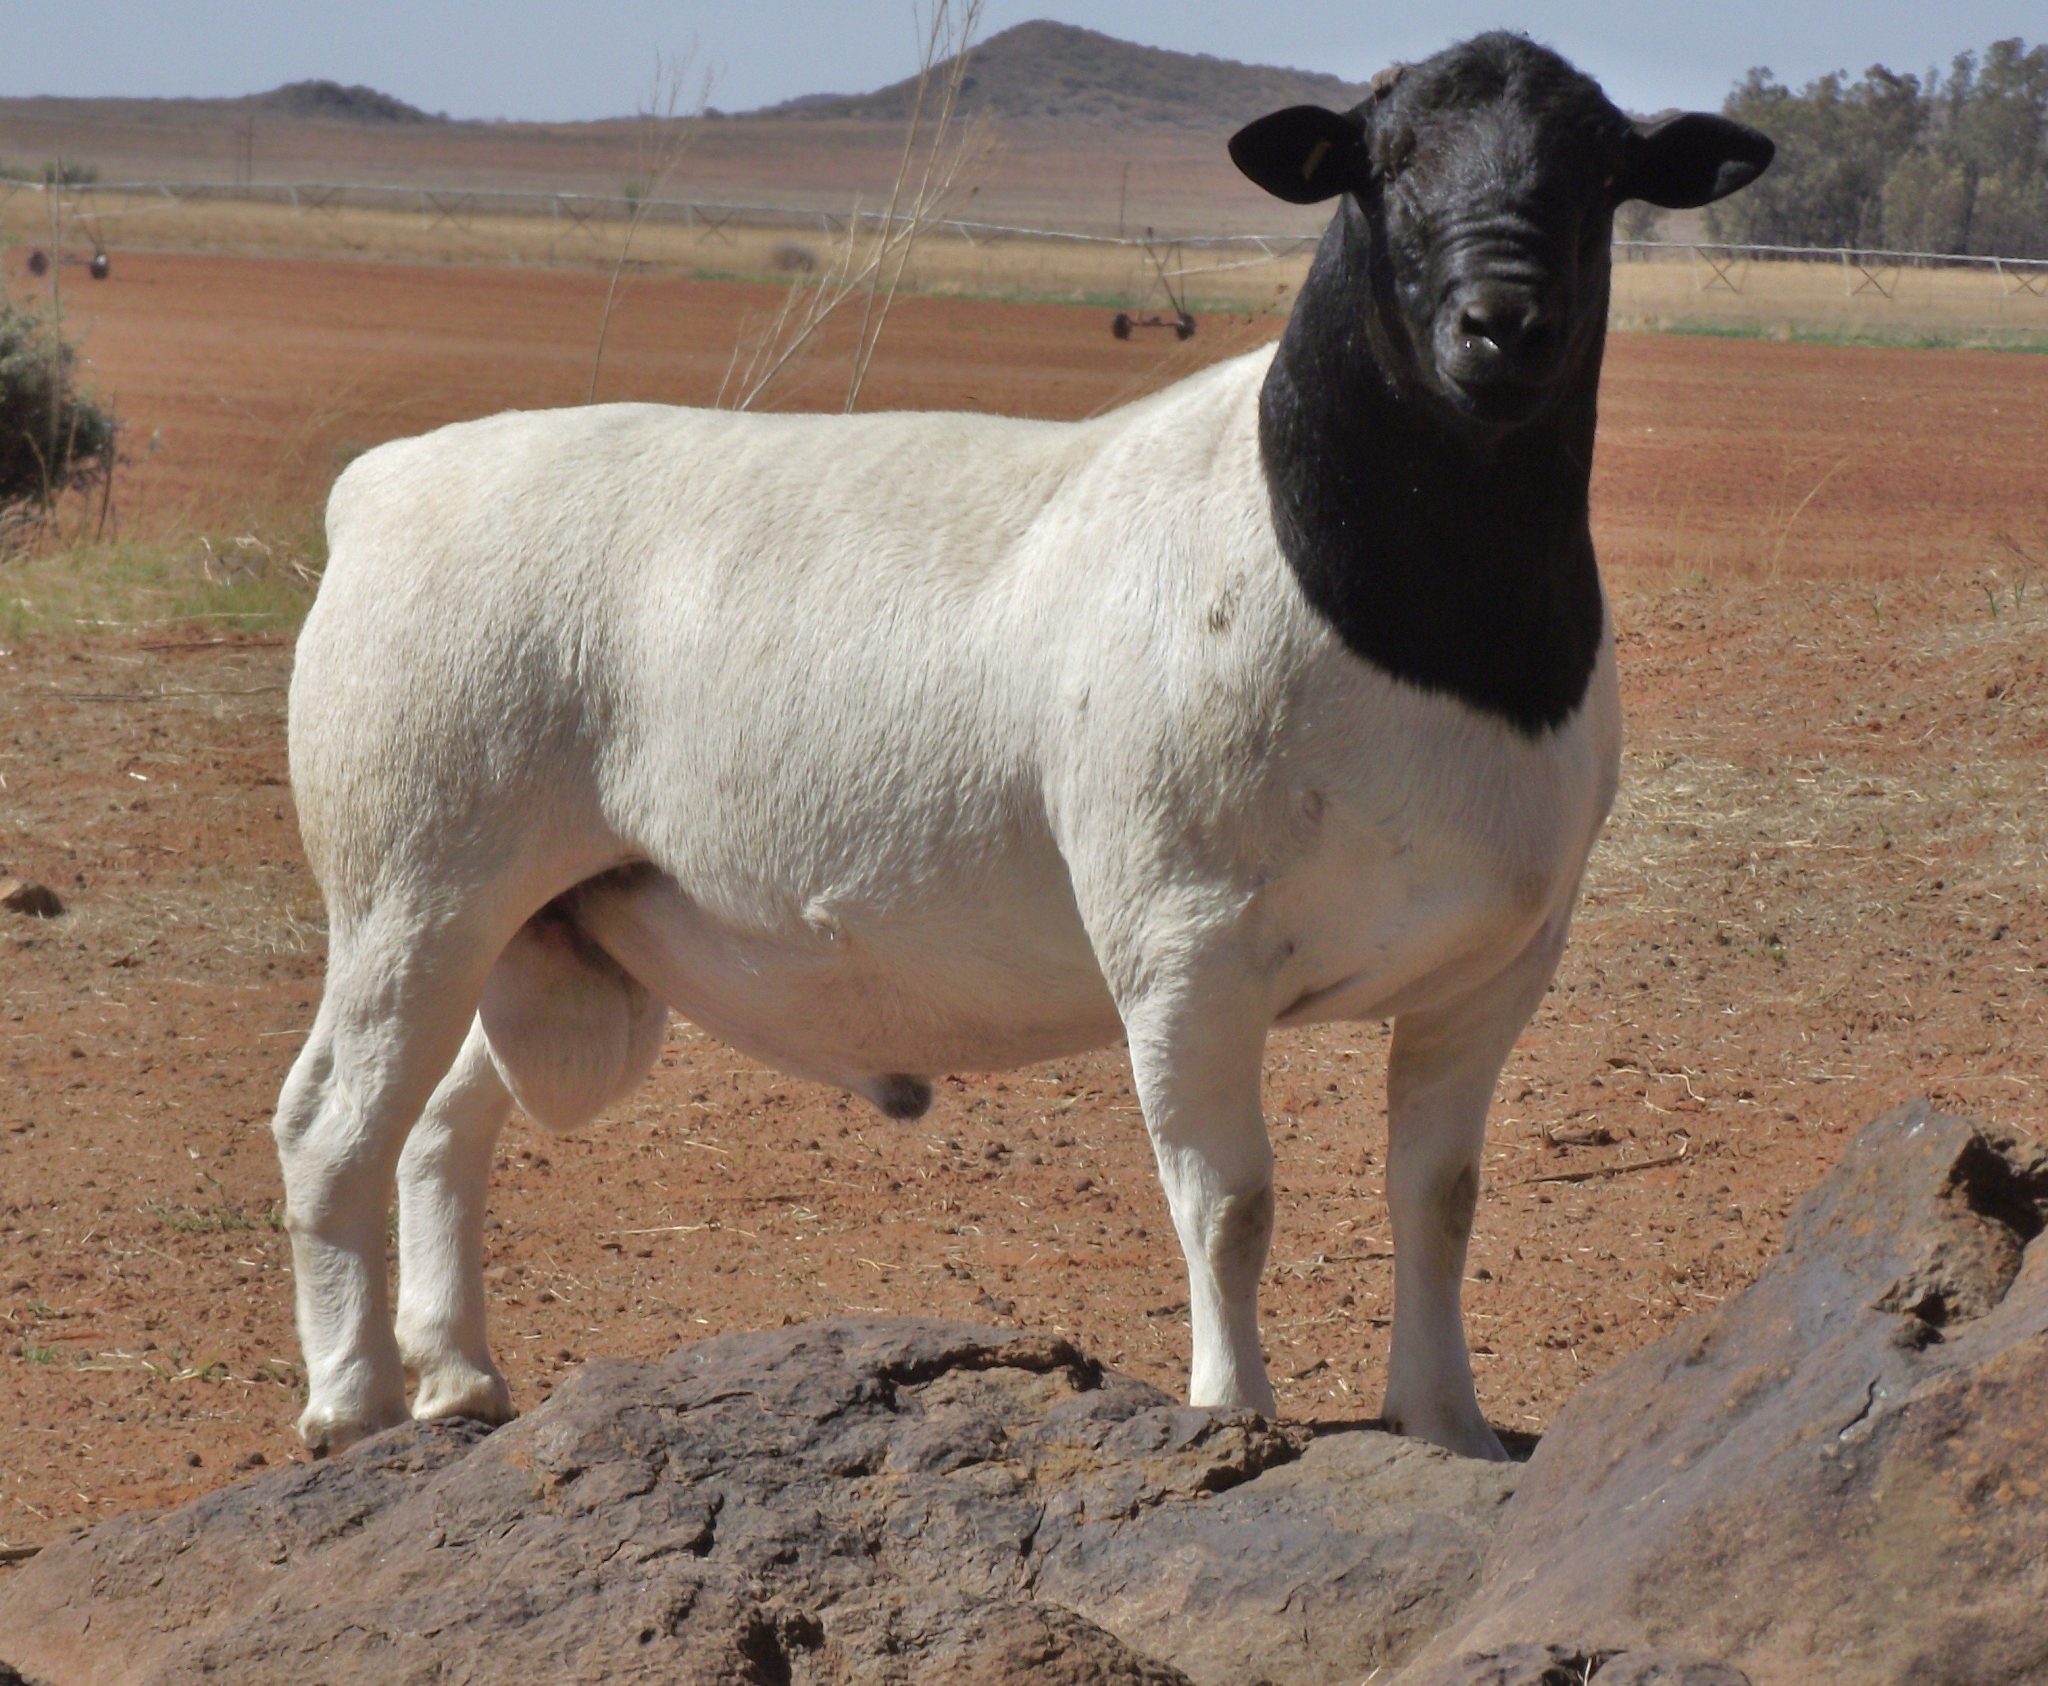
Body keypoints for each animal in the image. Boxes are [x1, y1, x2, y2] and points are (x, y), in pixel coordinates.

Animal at [271, 32, 1771, 1460]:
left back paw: (459, 1377)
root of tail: (381, 485)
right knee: (333, 1122)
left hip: (547, 923)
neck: (1411, 613)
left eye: (1599, 171)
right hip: (413, 881)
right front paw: (1234, 1411)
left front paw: (1446, 1422)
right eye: (1386, 160)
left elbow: (1439, 1201)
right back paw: (352, 1401)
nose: (1503, 324)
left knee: (443, 1123)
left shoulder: (1492, 967)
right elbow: (1229, 1205)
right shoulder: (1183, 945)